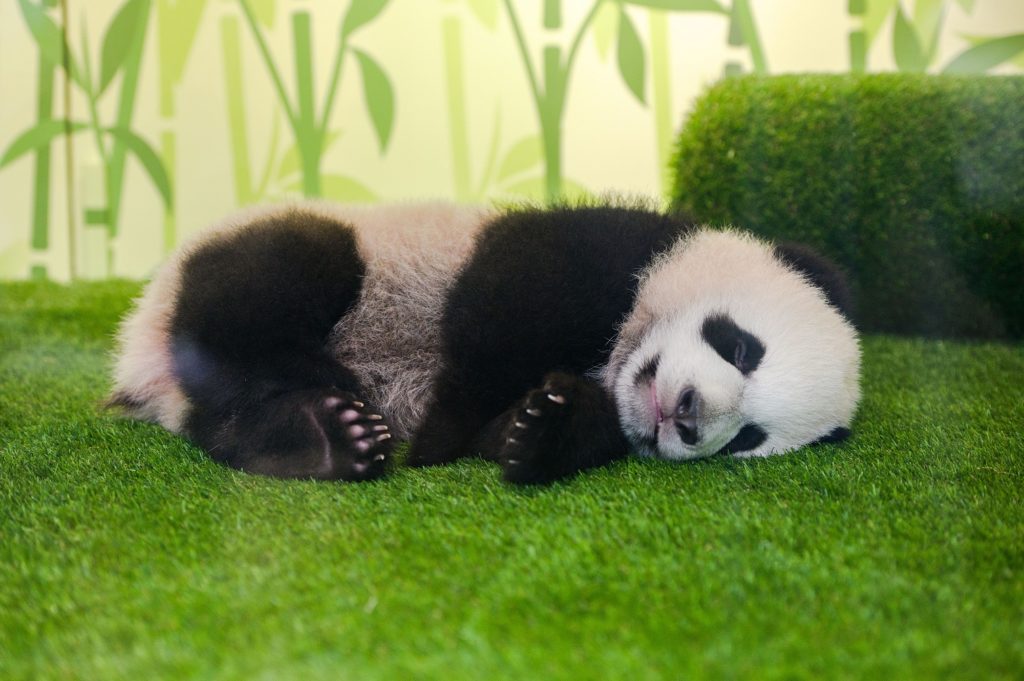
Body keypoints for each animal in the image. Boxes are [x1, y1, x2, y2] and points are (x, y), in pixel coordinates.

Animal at [108, 200, 861, 485]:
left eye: (747, 438)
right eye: (742, 348)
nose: (689, 415)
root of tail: (142, 363)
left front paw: (540, 428)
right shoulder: (606, 244)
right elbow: (506, 299)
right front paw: (442, 435)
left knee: (221, 418)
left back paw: (316, 438)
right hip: (311, 245)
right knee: (271, 277)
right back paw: (325, 385)